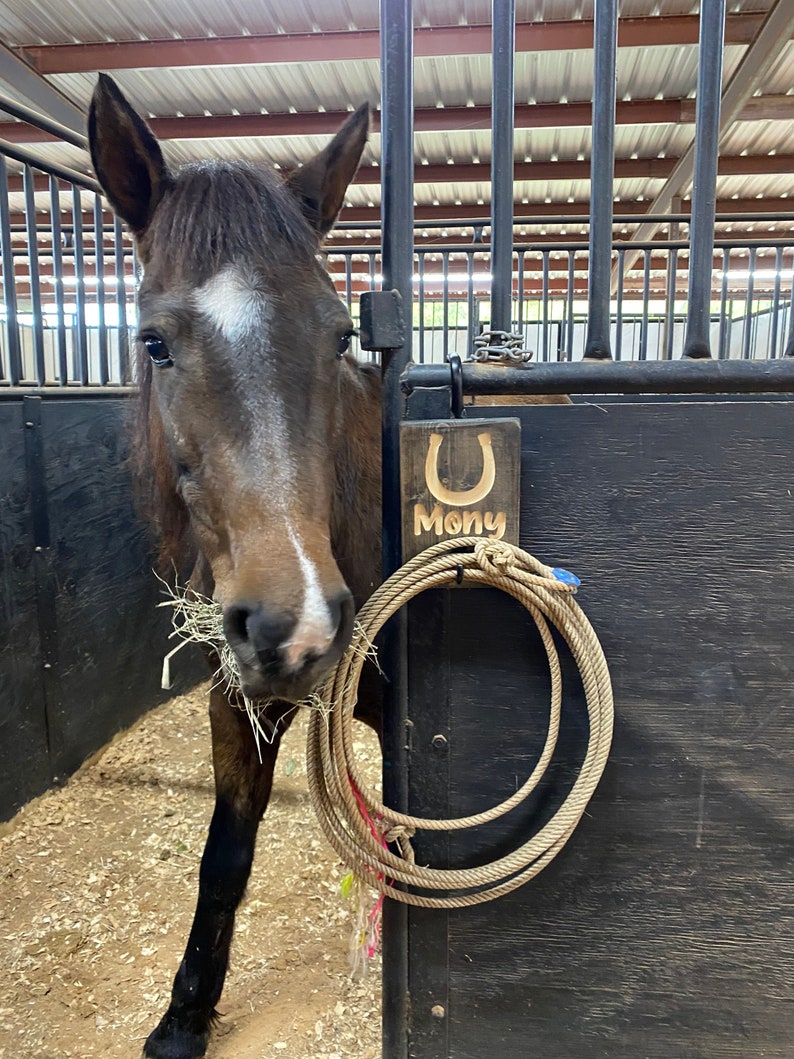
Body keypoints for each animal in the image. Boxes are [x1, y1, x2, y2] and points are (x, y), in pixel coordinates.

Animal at [88, 74, 382, 1059]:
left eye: (340, 334)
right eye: (153, 342)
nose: (301, 623)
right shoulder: (235, 695)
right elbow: (224, 856)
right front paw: (184, 1017)